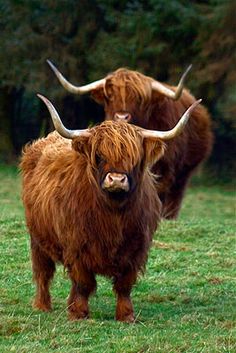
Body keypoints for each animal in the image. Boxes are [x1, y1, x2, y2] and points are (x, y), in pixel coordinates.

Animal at [20, 95, 201, 320]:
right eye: (99, 155)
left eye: (134, 157)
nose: (116, 179)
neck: (113, 214)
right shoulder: (77, 245)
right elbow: (83, 282)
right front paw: (79, 313)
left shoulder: (136, 247)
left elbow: (124, 284)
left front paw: (126, 315)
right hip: (37, 238)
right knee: (43, 273)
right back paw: (42, 305)